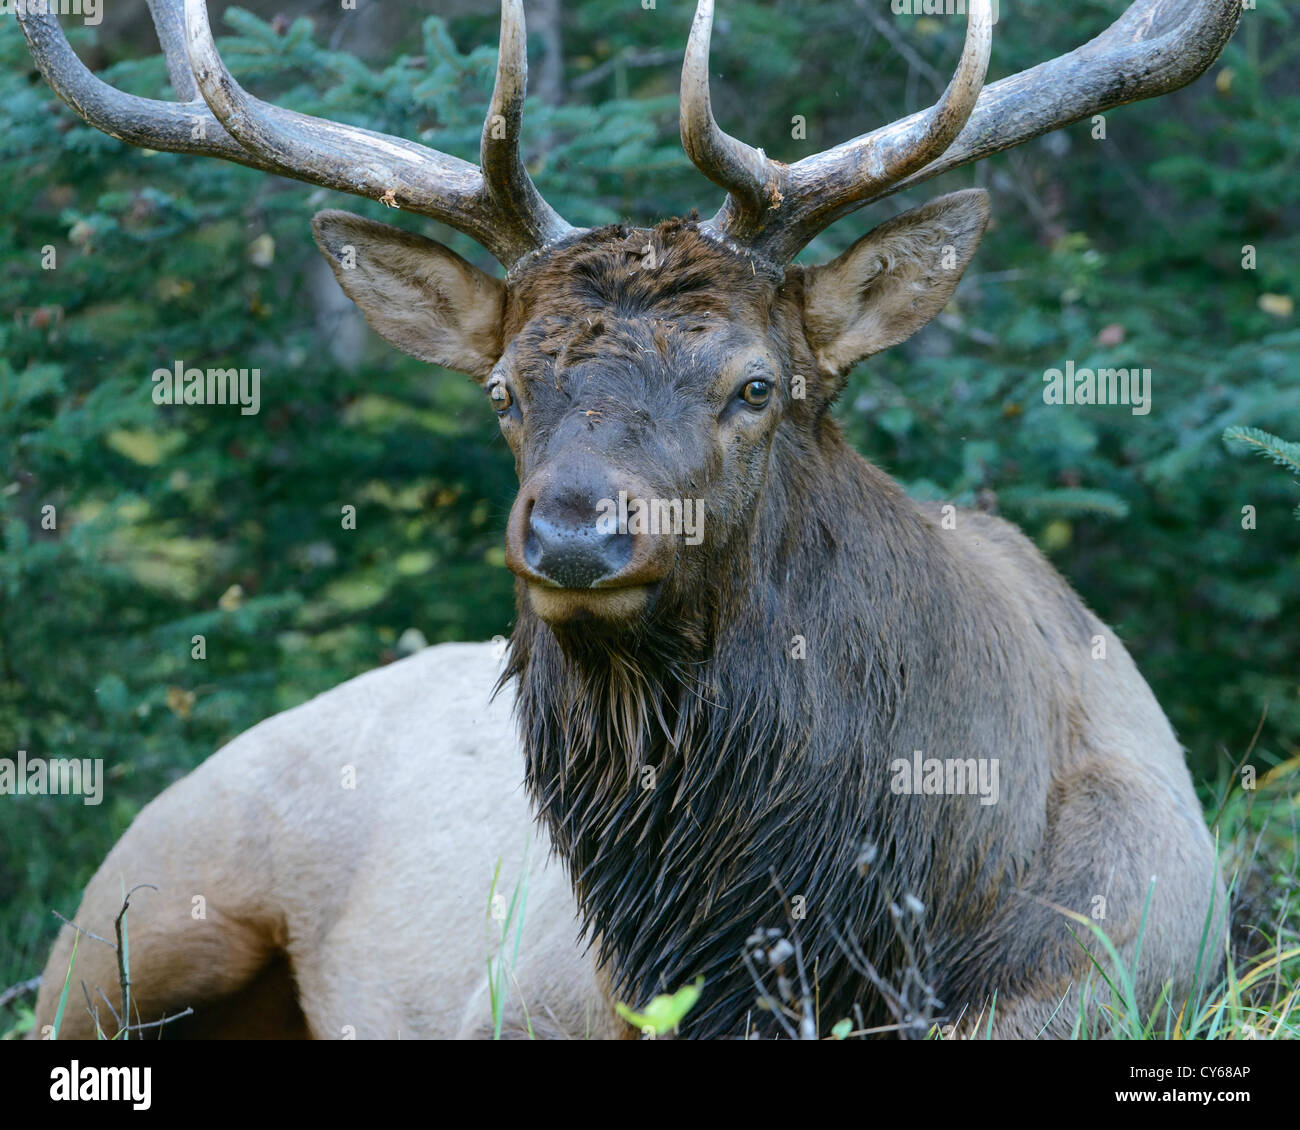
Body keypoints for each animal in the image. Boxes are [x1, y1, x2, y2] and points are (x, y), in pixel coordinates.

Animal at [22, 0, 1239, 1039]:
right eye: (502, 390)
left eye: (756, 385)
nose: (573, 535)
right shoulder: (520, 998)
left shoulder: (1126, 960)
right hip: (133, 922)